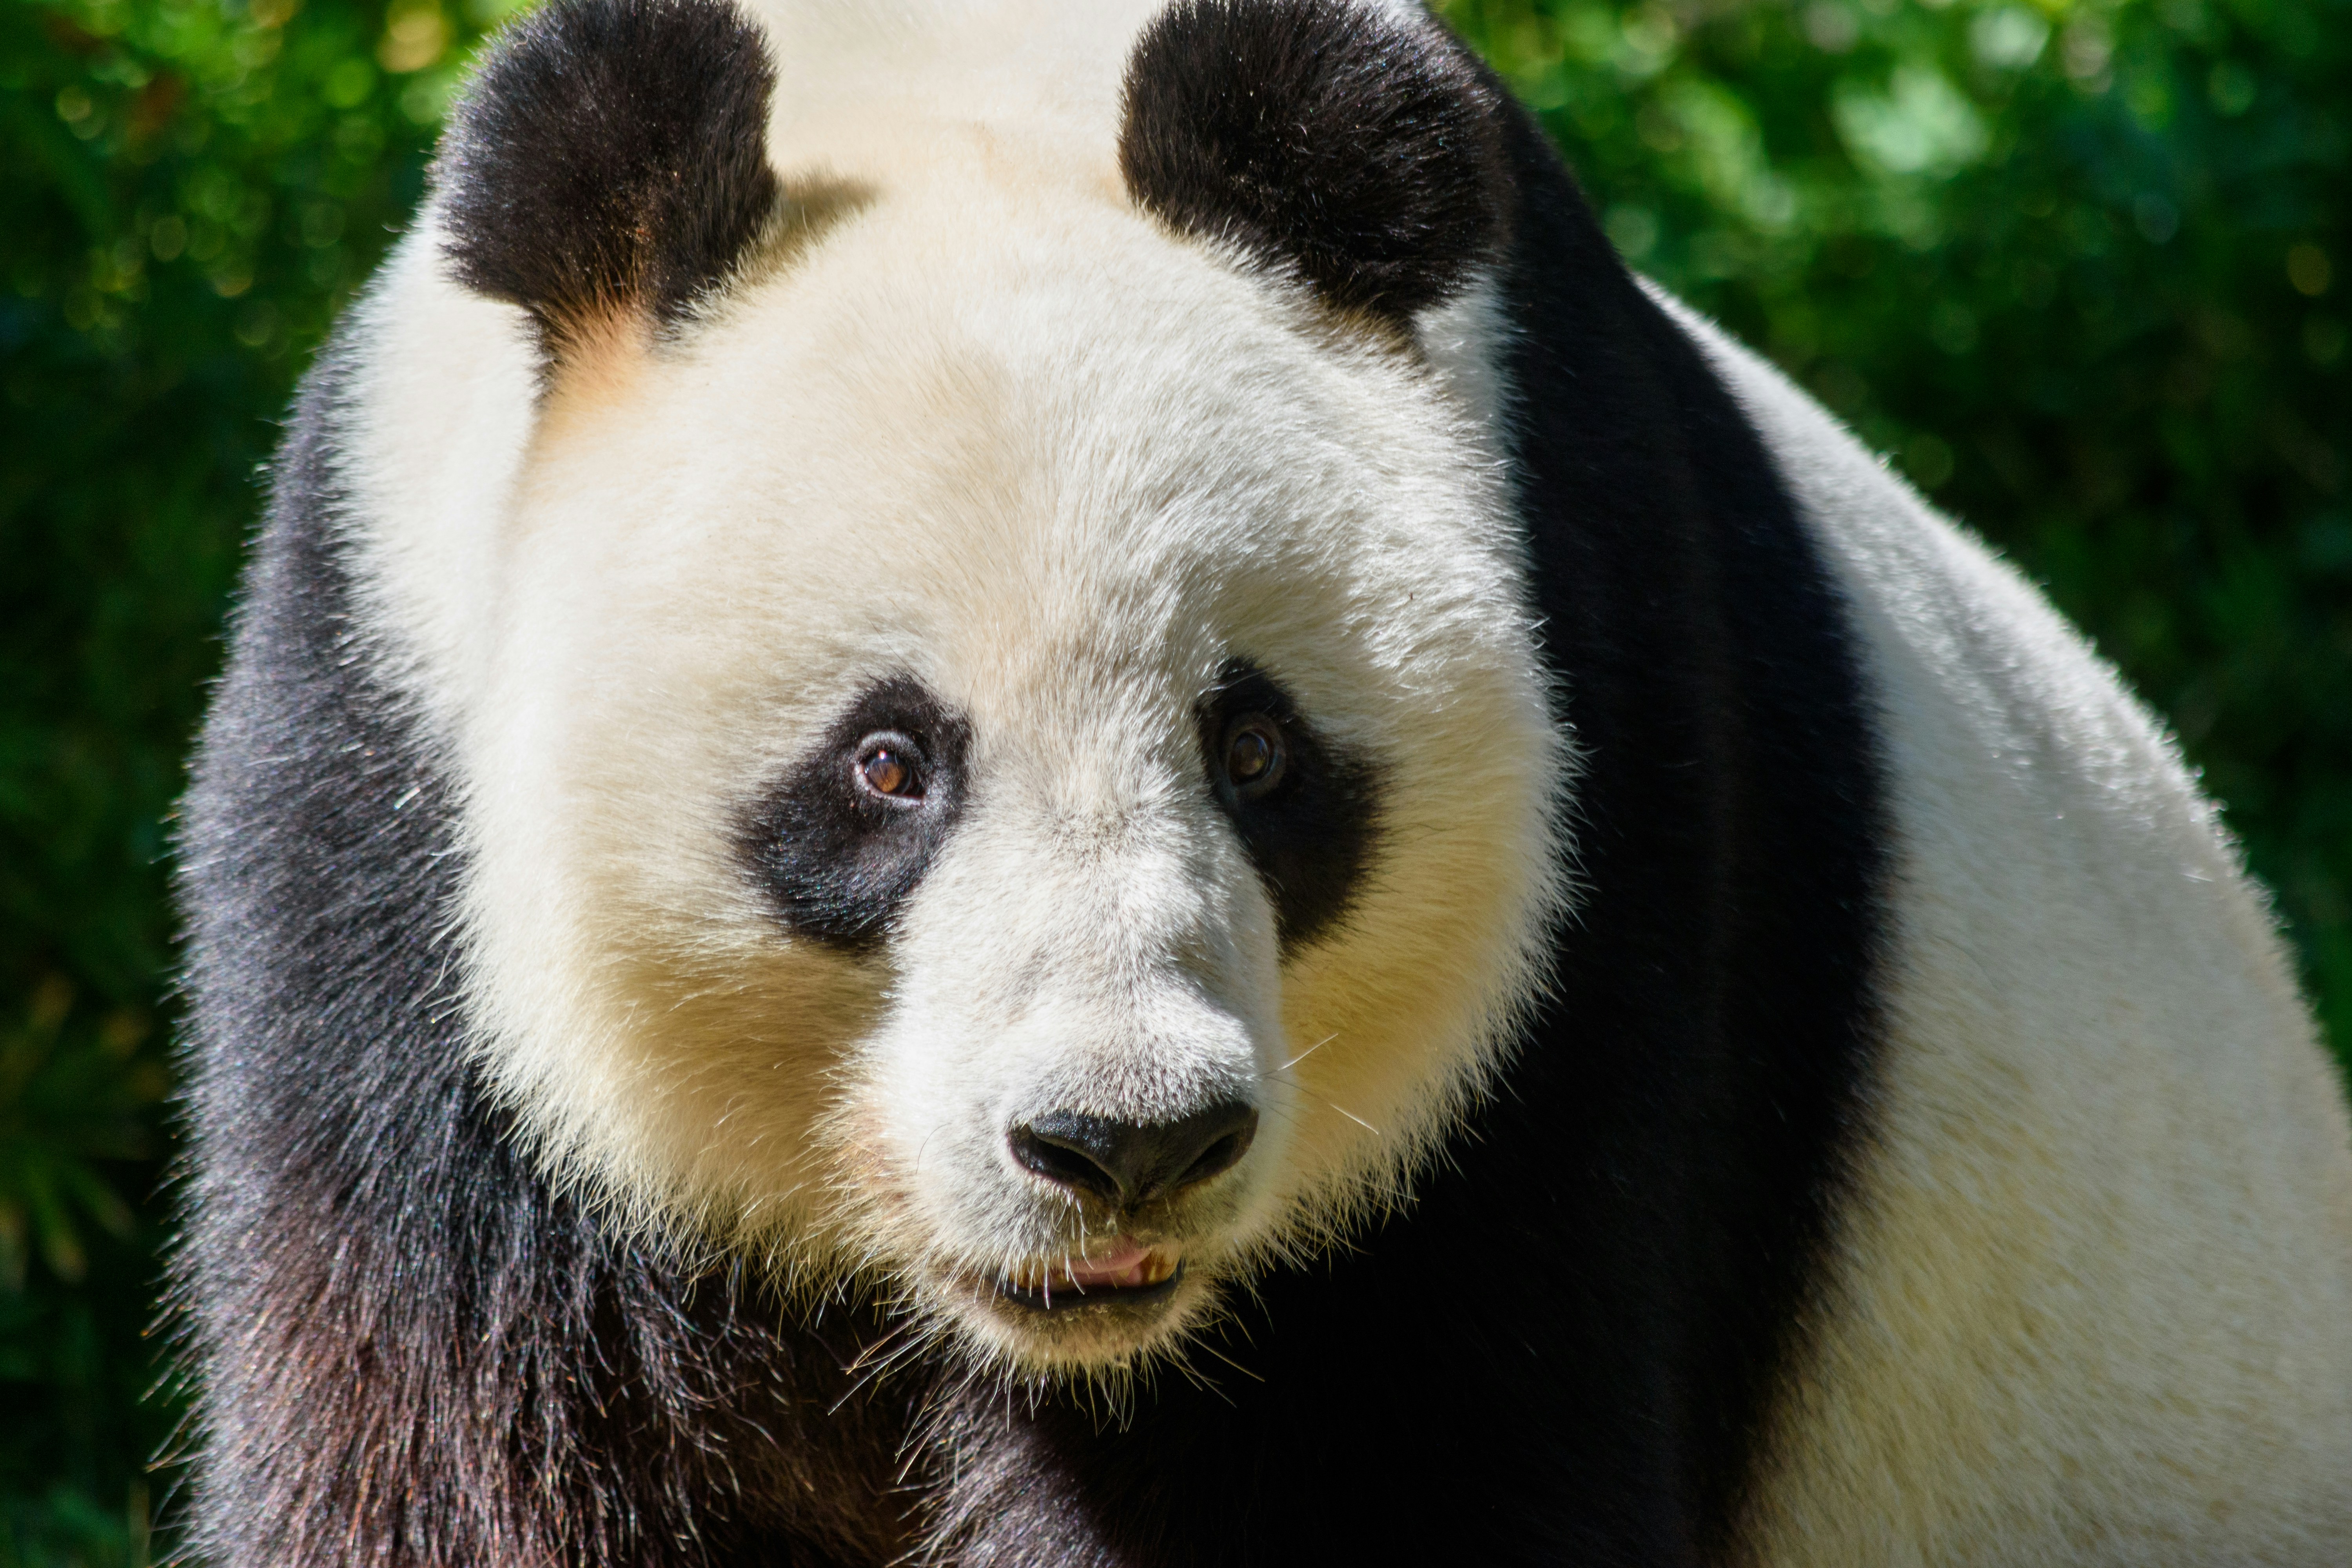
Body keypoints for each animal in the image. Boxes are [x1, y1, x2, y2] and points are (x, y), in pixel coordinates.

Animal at [173, 0, 2352, 1560]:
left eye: (1257, 748)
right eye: (887, 763)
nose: (1125, 1140)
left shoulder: (1577, 917)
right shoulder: (380, 824)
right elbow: (468, 1451)